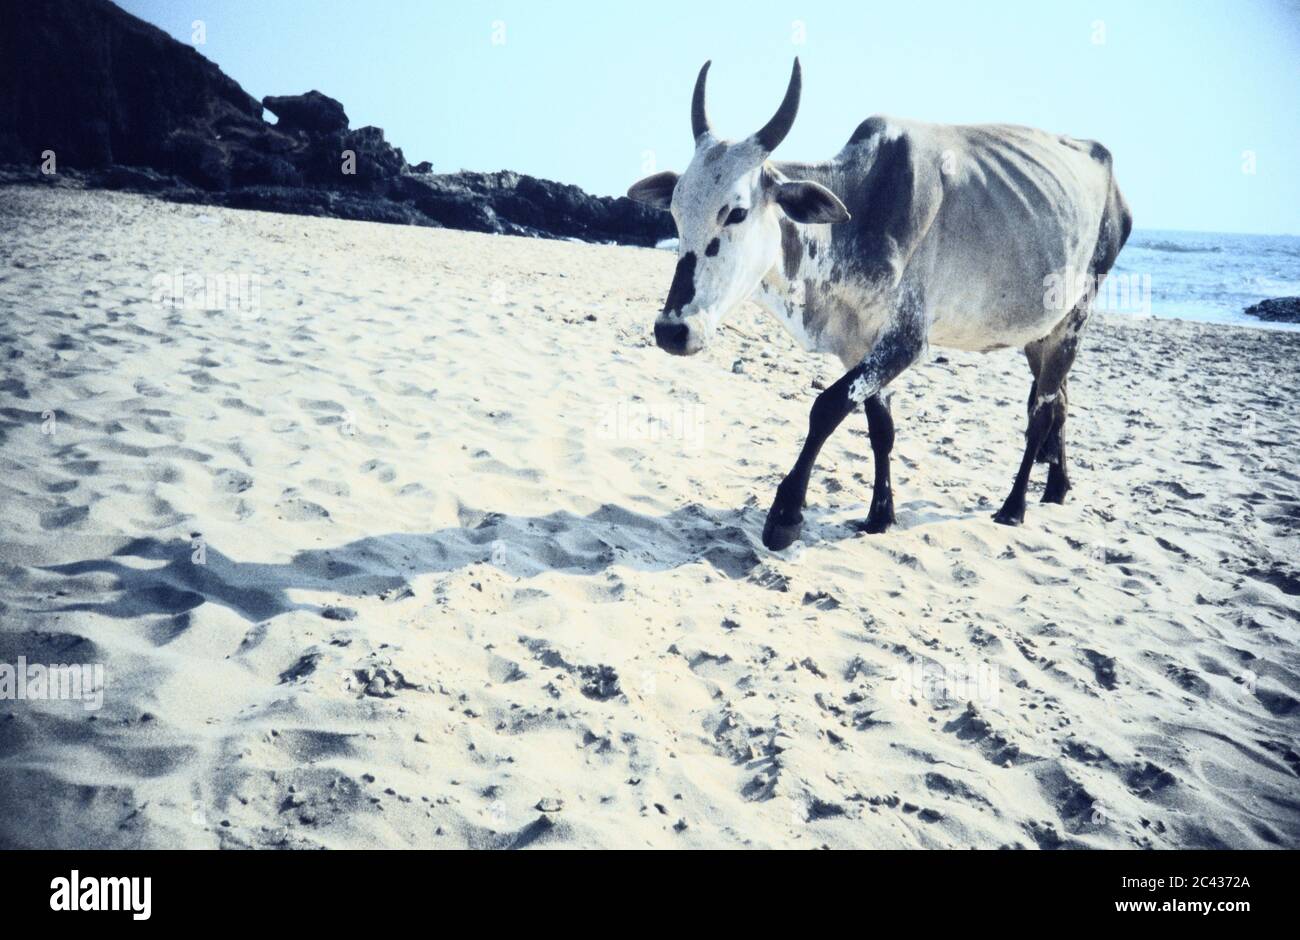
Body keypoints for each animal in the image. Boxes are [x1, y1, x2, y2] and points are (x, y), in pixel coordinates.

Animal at [627, 59, 1132, 551]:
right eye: (676, 213)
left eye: (736, 211)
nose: (672, 330)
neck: (860, 212)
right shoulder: (861, 345)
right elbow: (880, 429)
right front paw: (879, 515)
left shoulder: (905, 341)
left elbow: (826, 408)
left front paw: (786, 515)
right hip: (1040, 335)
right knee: (1059, 400)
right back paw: (1057, 488)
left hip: (1075, 317)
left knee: (1041, 412)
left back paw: (1014, 506)